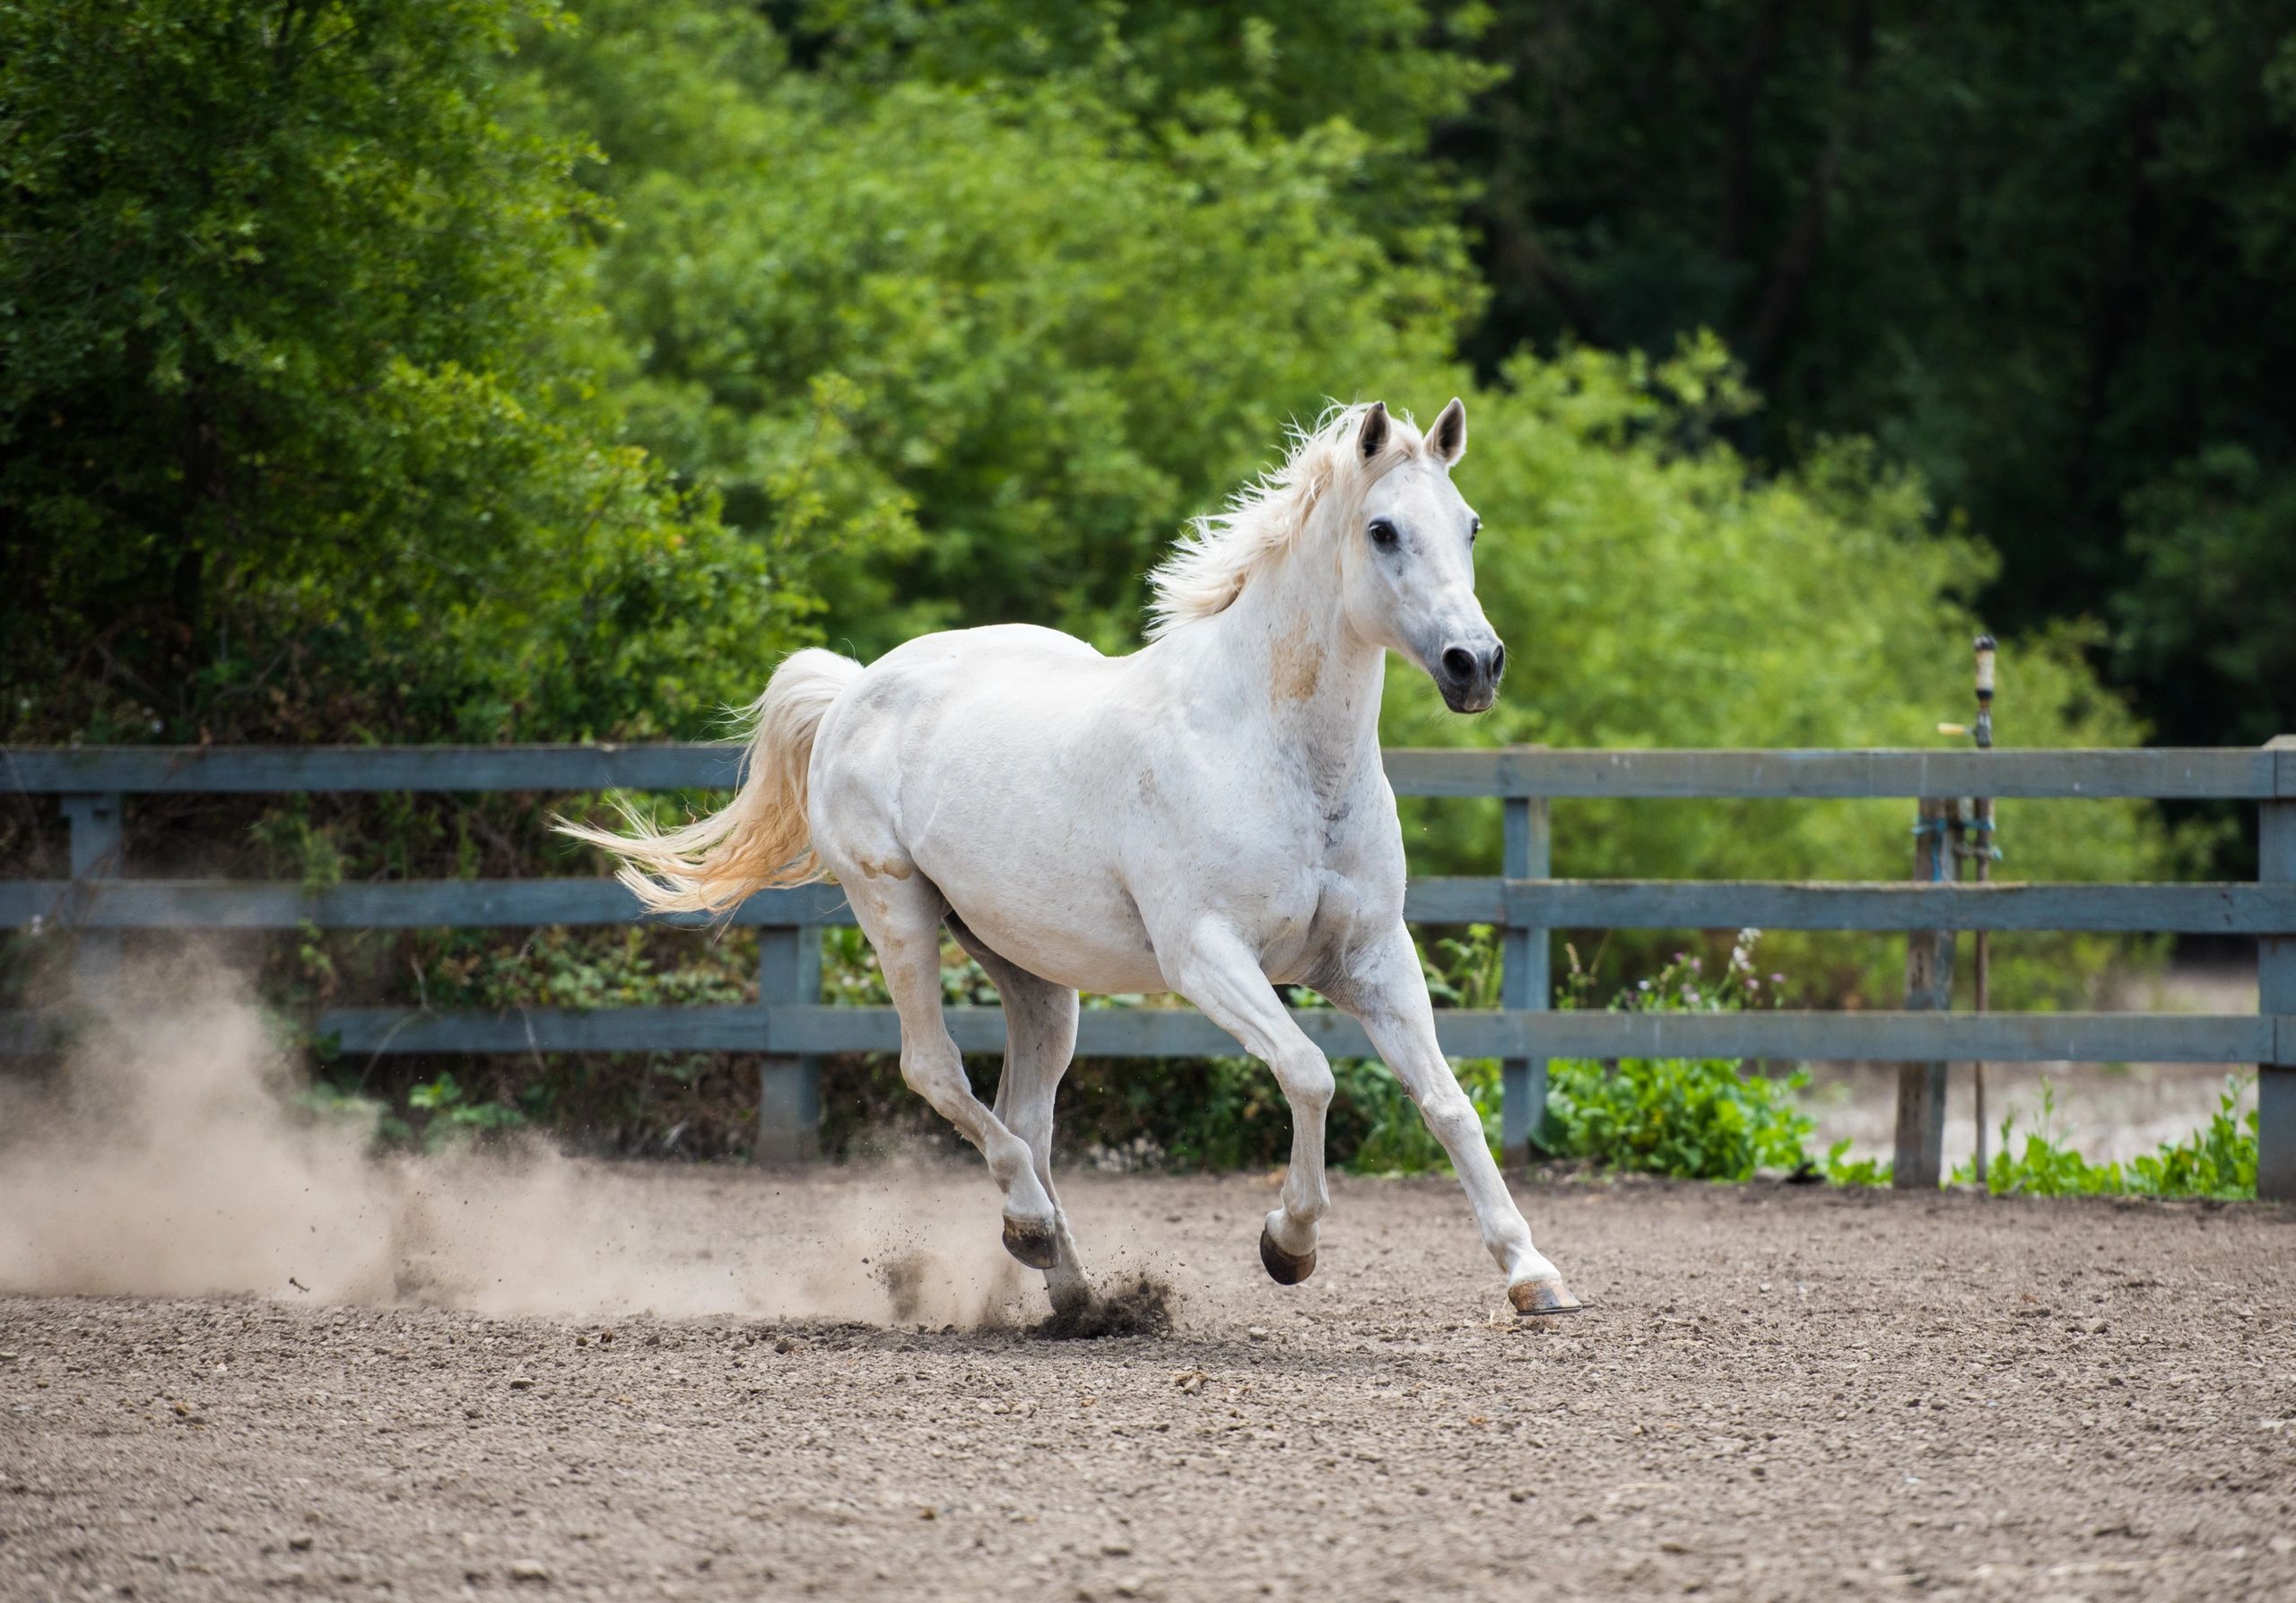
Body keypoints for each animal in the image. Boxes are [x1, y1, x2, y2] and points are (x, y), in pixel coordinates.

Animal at [560, 398, 1581, 1319]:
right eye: (1382, 529)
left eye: (1468, 524)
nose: (1475, 663)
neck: (1277, 752)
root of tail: (854, 686)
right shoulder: (1206, 955)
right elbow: (1309, 1072)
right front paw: (1287, 1245)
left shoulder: (1372, 955)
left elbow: (1447, 1103)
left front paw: (1534, 1276)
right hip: (897, 911)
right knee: (940, 1075)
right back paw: (1036, 1232)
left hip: (1033, 973)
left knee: (1026, 1113)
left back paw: (1077, 1289)